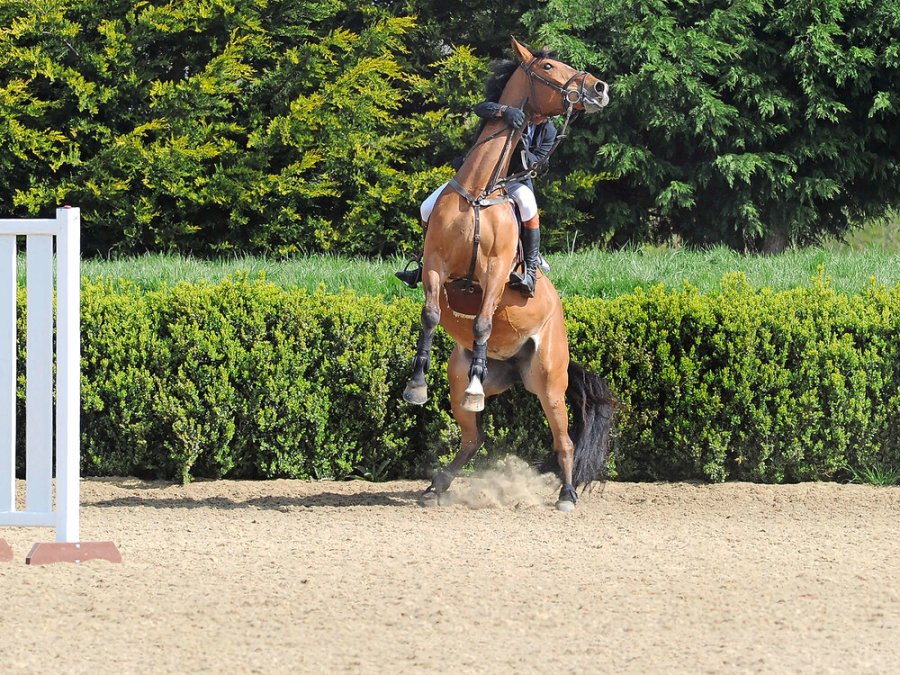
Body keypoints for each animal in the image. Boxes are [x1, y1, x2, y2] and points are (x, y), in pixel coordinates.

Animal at [403, 38, 614, 511]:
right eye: (549, 66)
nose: (599, 87)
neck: (480, 191)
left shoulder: (496, 274)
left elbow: (482, 319)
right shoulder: (434, 267)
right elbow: (430, 316)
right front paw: (415, 387)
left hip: (549, 380)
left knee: (564, 441)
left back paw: (567, 494)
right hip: (459, 372)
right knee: (472, 438)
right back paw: (437, 483)